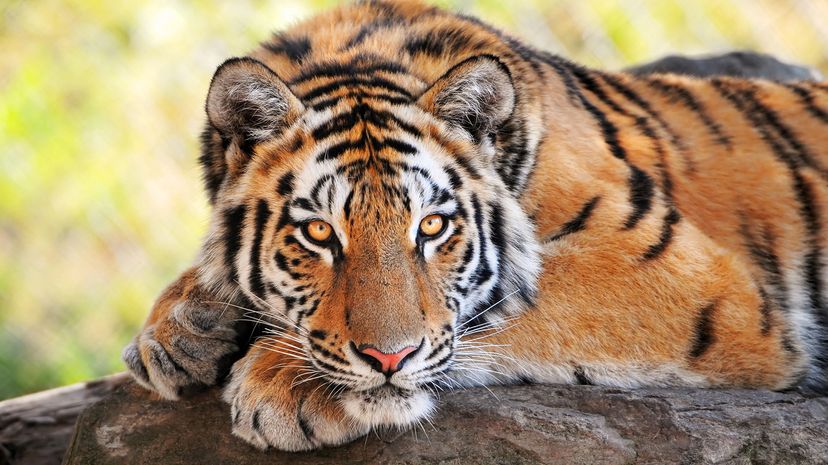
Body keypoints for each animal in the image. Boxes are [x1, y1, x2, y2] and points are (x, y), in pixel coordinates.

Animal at [121, 0, 828, 450]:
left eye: (432, 227)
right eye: (319, 234)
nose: (388, 359)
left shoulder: (683, 276)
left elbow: (500, 308)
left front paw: (285, 383)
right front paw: (177, 330)